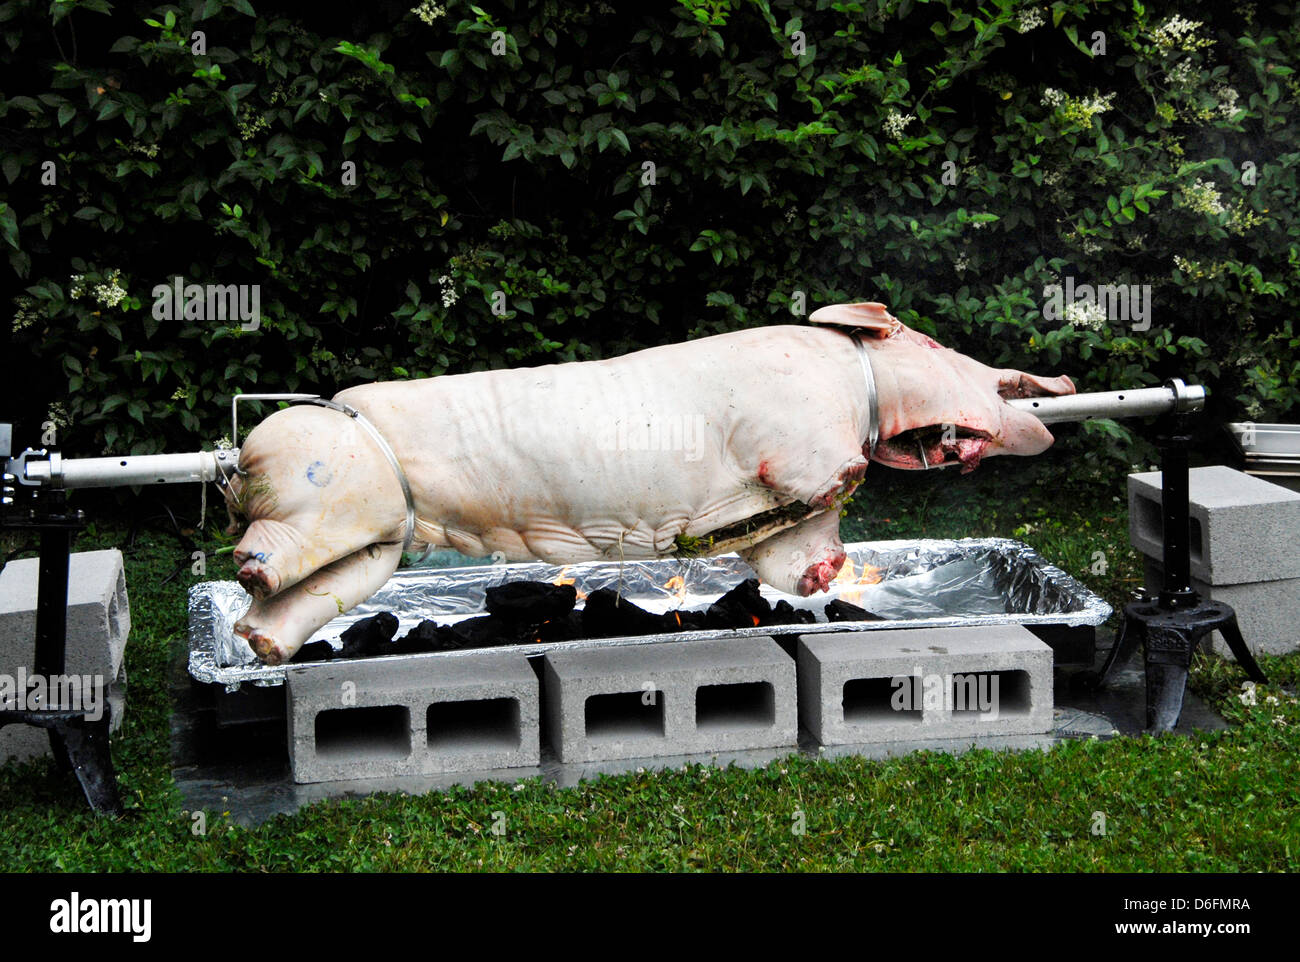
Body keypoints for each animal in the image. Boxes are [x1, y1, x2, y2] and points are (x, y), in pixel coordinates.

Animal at [224, 302, 1074, 665]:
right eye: (926, 343)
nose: (1059, 389)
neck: (859, 390)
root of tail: (235, 463)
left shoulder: (791, 515)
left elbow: (797, 559)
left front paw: (819, 568)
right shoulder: (792, 436)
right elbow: (833, 472)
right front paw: (850, 472)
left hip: (374, 541)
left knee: (291, 603)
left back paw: (257, 641)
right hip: (320, 492)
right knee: (265, 557)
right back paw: (249, 574)